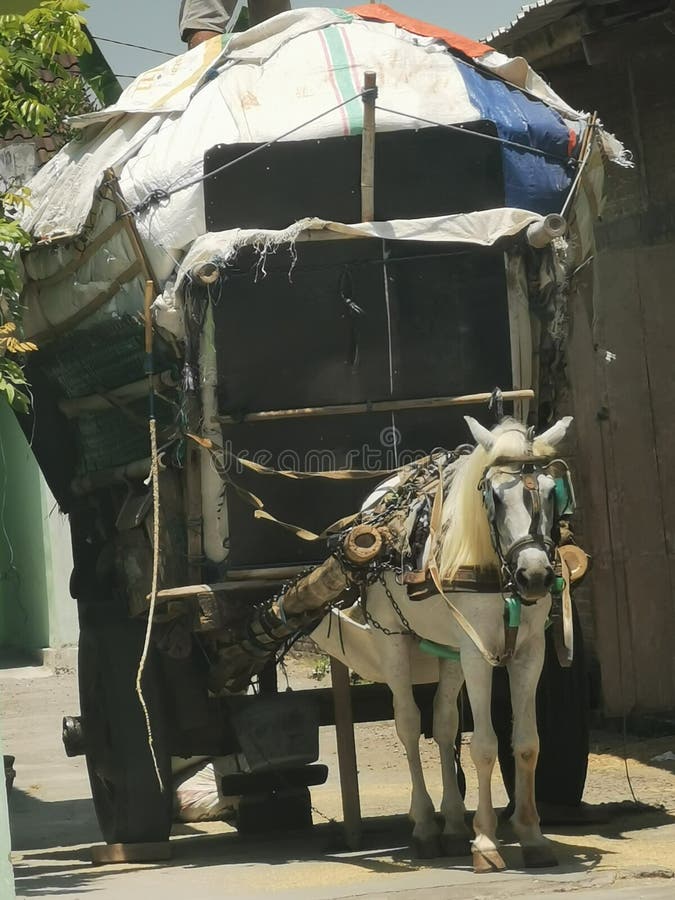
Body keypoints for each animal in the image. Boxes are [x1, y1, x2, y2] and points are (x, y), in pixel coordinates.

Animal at [311, 414, 573, 872]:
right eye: (494, 496)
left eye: (550, 490)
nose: (536, 575)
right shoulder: (477, 652)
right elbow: (485, 746)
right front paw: (485, 842)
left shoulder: (529, 652)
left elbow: (526, 743)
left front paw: (531, 835)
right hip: (395, 640)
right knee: (409, 724)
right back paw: (425, 827)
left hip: (450, 651)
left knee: (444, 722)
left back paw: (451, 824)